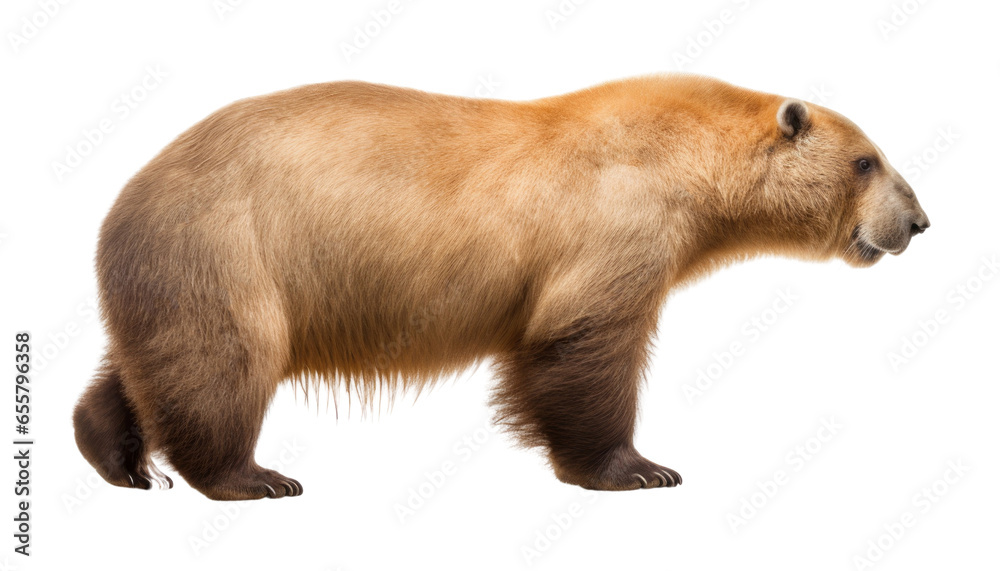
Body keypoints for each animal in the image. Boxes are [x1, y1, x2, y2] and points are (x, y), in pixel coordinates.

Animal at [73, 73, 929, 500]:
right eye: (867, 160)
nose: (918, 222)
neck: (684, 151)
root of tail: (123, 197)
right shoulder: (614, 221)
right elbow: (584, 343)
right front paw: (639, 468)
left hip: (175, 265)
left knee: (153, 360)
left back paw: (118, 455)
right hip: (227, 241)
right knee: (225, 358)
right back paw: (254, 476)